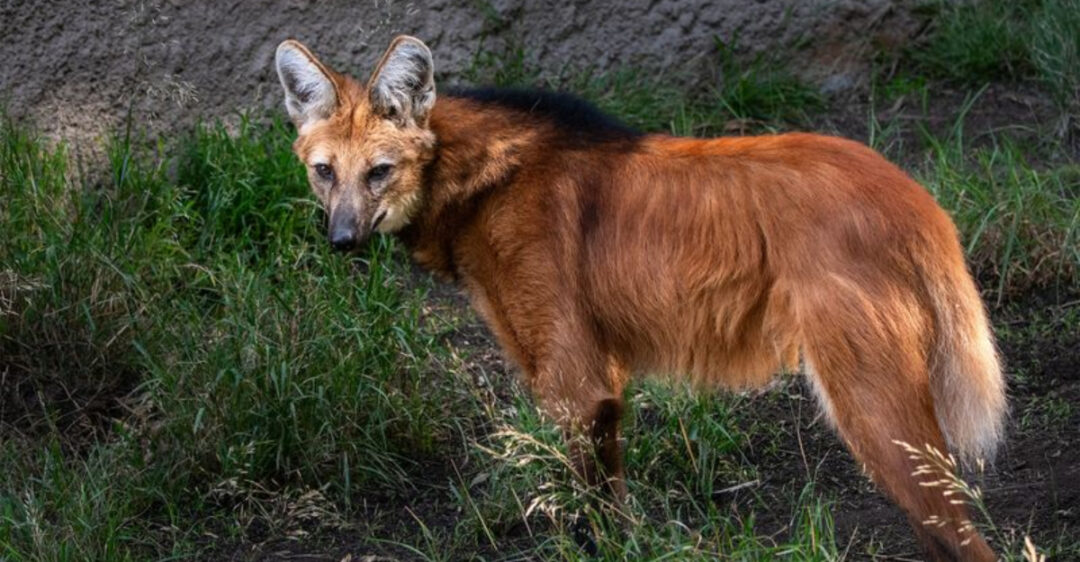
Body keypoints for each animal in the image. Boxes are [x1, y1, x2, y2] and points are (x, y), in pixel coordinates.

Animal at [273, 35, 1006, 561]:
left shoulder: (574, 383)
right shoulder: (599, 384)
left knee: (960, 535)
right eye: (324, 172)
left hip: (872, 408)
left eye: (379, 172)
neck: (481, 181)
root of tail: (914, 197)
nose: (342, 240)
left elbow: (591, 516)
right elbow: (614, 509)